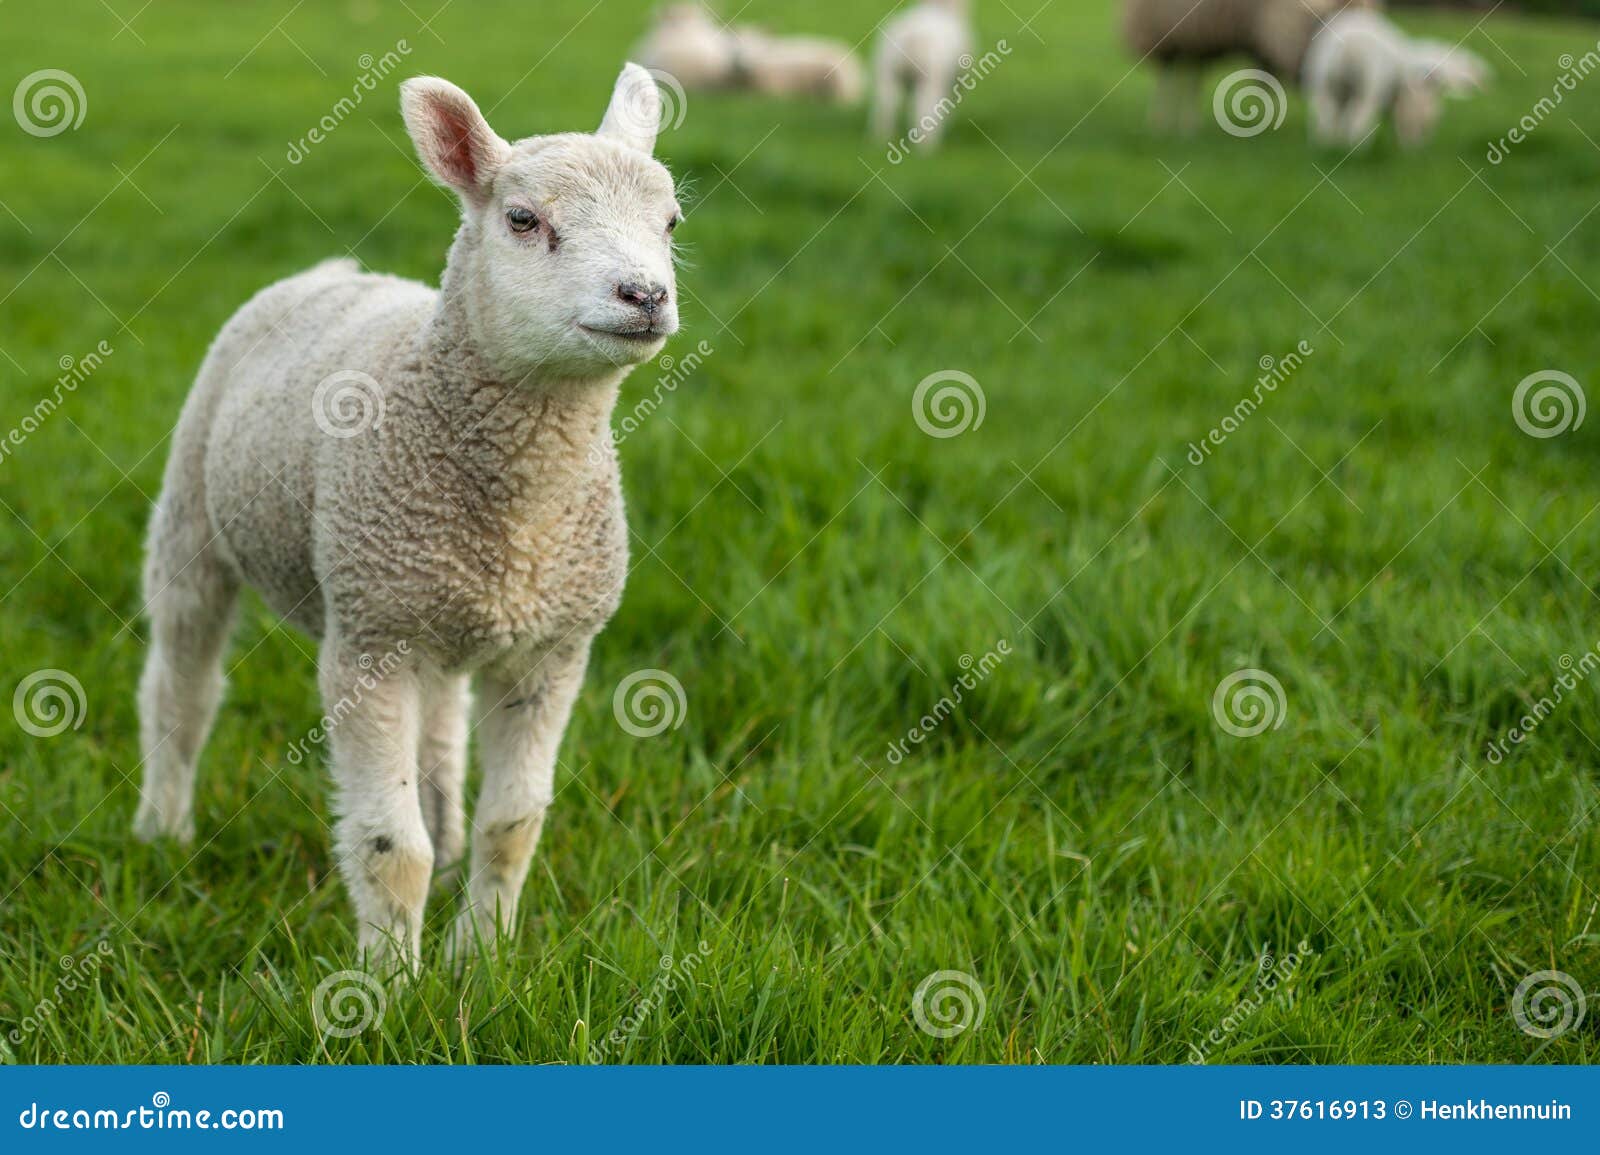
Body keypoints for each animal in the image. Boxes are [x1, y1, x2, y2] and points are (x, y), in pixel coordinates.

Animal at [133, 65, 684, 973]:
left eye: (671, 222)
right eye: (523, 220)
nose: (644, 295)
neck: (519, 507)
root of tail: (336, 270)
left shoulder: (552, 648)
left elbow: (513, 825)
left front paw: (482, 955)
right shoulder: (368, 642)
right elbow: (391, 845)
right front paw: (390, 979)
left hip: (434, 607)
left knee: (441, 731)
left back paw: (450, 837)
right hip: (195, 514)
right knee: (182, 684)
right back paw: (163, 827)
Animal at [871, 0, 975, 151]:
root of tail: (911, 39)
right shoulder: (958, 81)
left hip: (886, 73)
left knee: (887, 105)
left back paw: (881, 139)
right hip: (930, 79)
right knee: (924, 107)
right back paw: (926, 146)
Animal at [1304, 10, 1489, 149]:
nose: (1421, 146)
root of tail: (1348, 48)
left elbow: (1340, 118)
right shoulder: (1403, 97)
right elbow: (1403, 117)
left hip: (1324, 81)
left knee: (1325, 114)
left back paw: (1325, 144)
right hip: (1369, 84)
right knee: (1360, 116)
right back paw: (1358, 147)